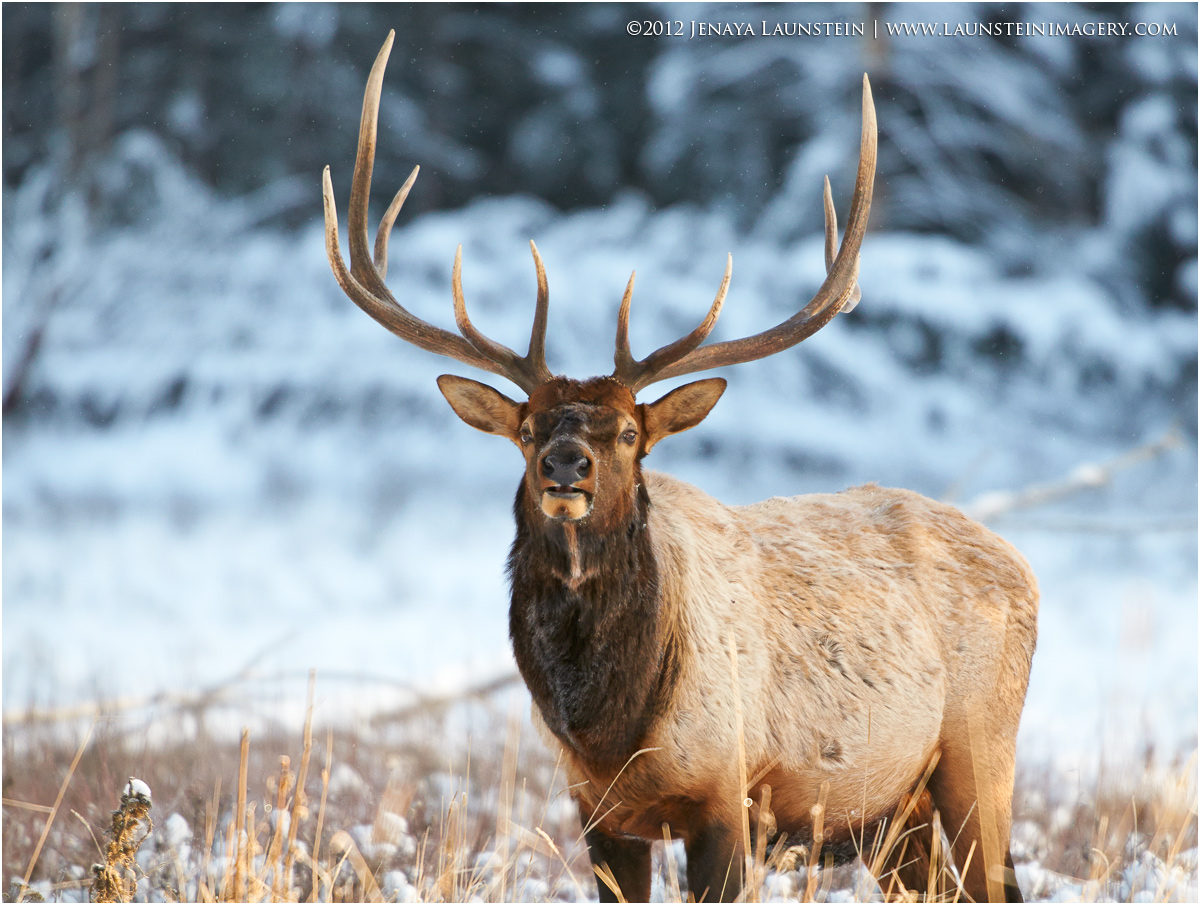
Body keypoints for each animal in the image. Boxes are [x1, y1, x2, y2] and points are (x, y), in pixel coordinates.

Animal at [322, 32, 1037, 904]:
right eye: (525, 429)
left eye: (631, 431)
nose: (567, 463)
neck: (611, 726)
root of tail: (1023, 565)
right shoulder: (599, 812)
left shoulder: (727, 792)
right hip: (895, 815)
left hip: (980, 752)